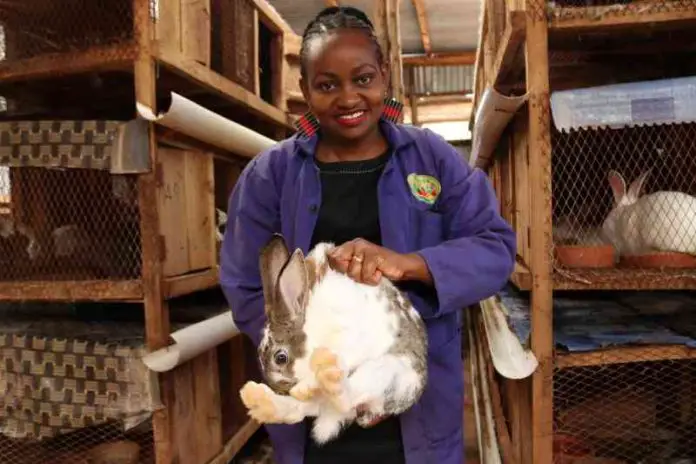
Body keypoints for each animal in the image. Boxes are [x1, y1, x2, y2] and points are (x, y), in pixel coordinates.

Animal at [239, 234, 428, 445]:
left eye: (281, 358)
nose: (284, 389)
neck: (313, 328)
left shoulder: (349, 339)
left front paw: (307, 384)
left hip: (389, 372)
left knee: (346, 397)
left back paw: (318, 384)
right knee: (304, 409)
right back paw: (260, 400)